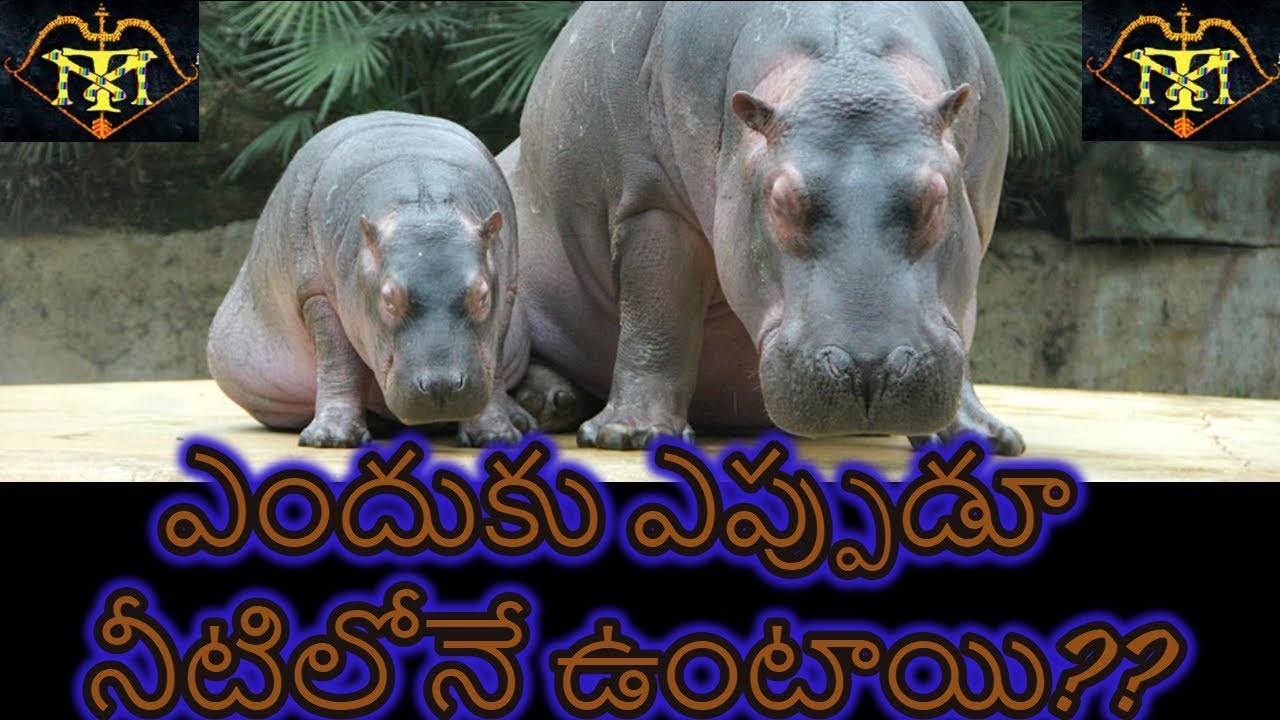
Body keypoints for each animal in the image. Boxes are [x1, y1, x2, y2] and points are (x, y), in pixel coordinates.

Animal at [208, 111, 533, 448]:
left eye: (482, 296)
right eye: (388, 299)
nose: (441, 386)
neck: (422, 202)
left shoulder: (507, 292)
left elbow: (493, 363)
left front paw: (496, 435)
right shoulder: (317, 296)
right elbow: (339, 364)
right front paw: (330, 438)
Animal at [500, 1, 1024, 454]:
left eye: (936, 197)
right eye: (781, 200)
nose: (870, 370)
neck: (848, 66)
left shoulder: (978, 209)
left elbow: (963, 321)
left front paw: (981, 437)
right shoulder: (651, 204)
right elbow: (658, 315)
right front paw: (628, 435)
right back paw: (544, 402)